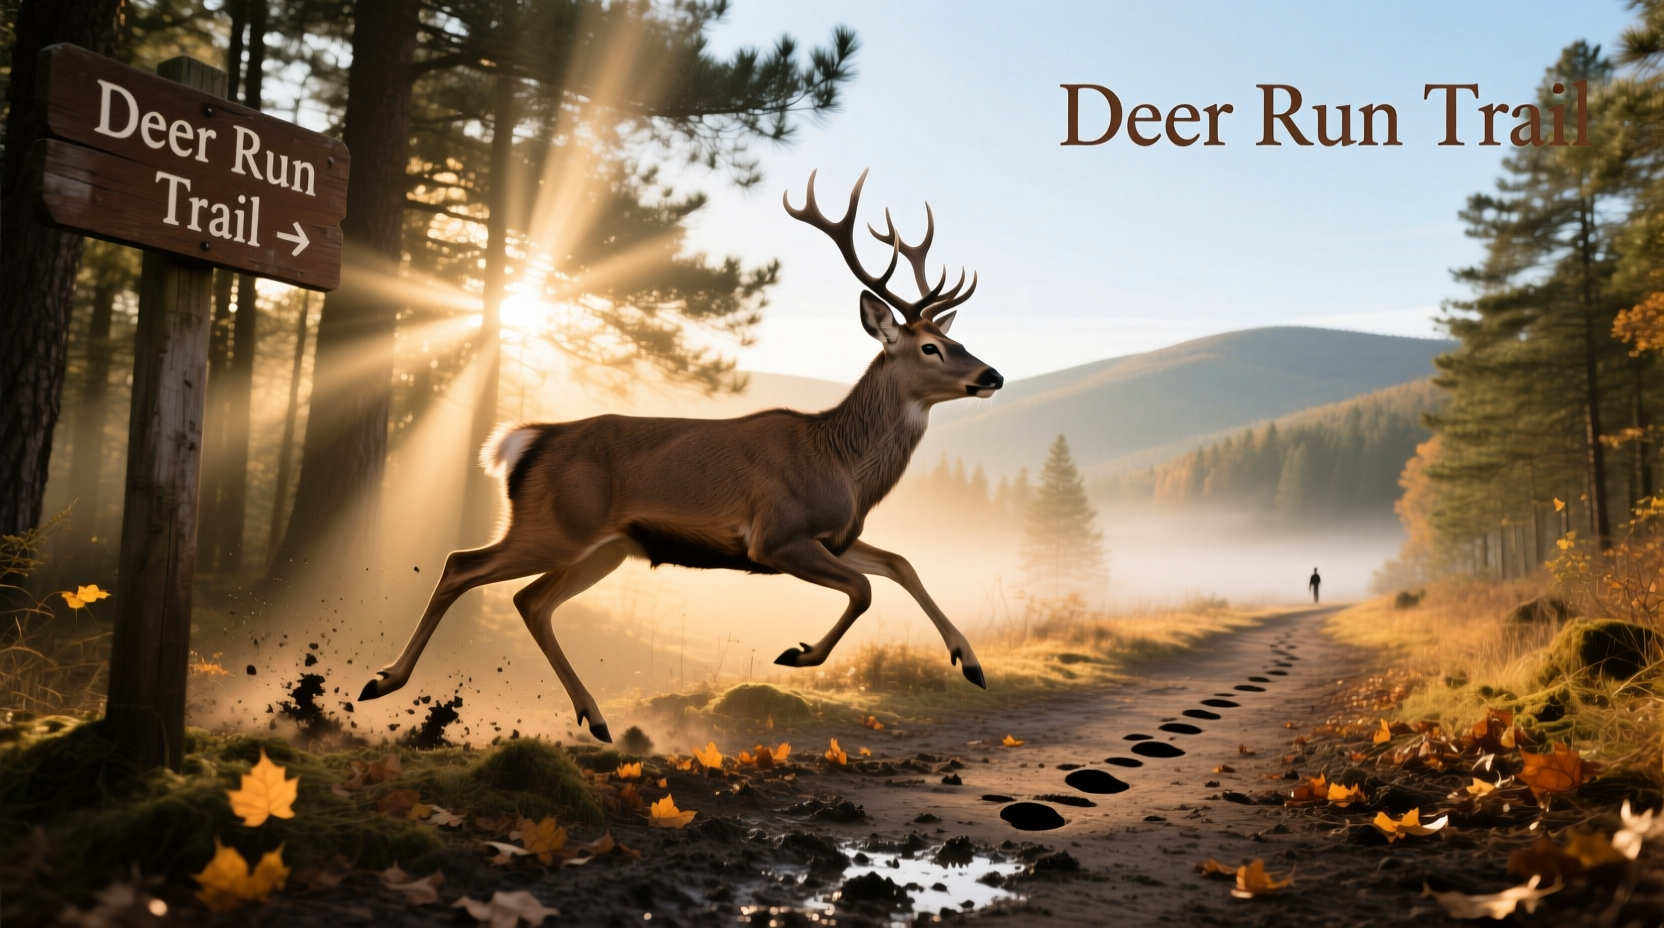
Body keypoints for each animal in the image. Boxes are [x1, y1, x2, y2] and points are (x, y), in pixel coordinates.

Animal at [358, 170, 1003, 742]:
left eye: (958, 339)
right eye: (932, 347)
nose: (992, 375)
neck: (842, 465)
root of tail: (522, 443)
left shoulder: (837, 537)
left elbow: (901, 563)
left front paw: (970, 663)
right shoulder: (777, 536)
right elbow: (866, 590)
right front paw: (797, 654)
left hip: (606, 547)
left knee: (530, 600)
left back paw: (595, 718)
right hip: (555, 525)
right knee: (461, 564)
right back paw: (382, 680)